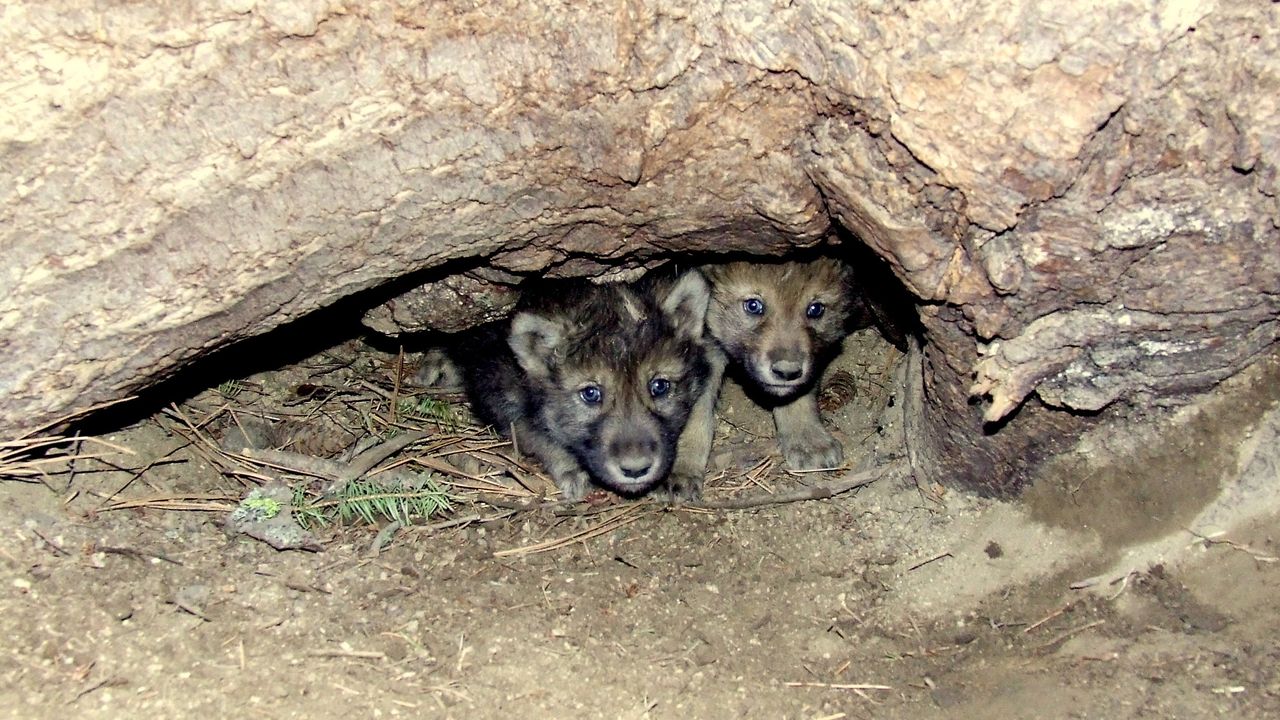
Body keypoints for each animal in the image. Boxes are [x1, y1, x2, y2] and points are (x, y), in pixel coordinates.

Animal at [424, 271, 711, 501]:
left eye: (660, 386)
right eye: (591, 394)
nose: (635, 469)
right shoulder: (497, 390)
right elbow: (534, 432)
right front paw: (570, 469)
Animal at [669, 258, 857, 497]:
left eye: (815, 309)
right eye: (753, 306)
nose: (787, 372)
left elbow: (799, 396)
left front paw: (809, 441)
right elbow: (695, 412)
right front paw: (680, 467)